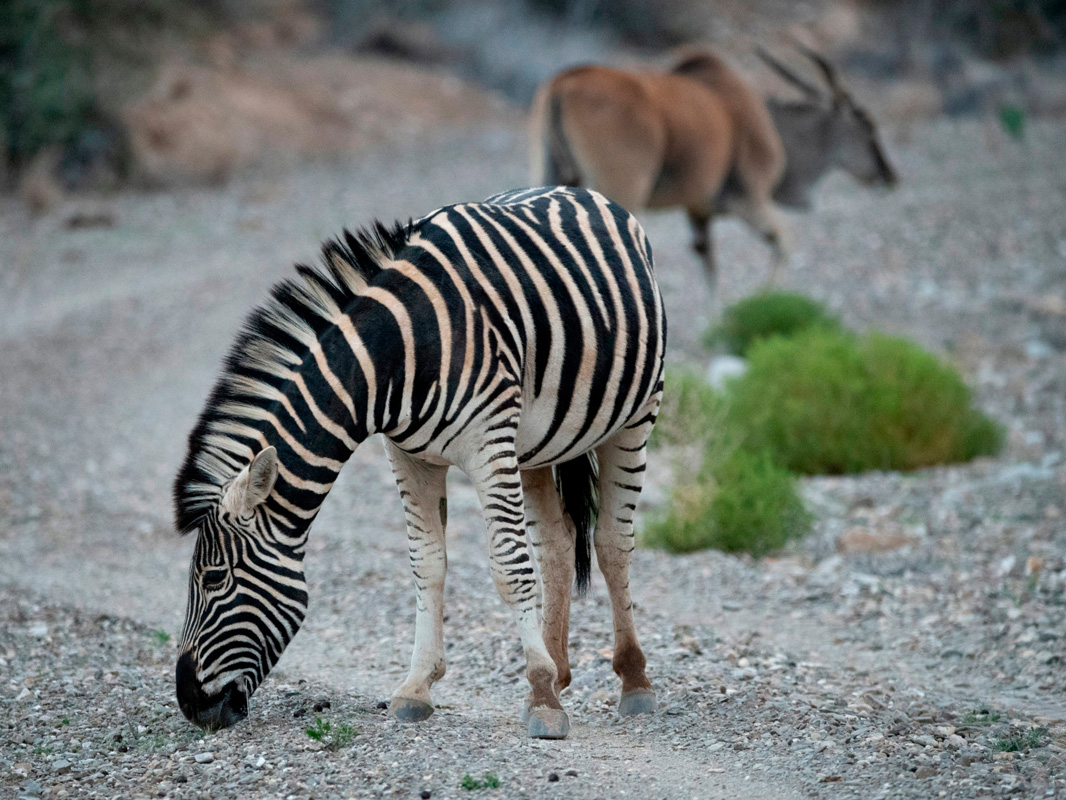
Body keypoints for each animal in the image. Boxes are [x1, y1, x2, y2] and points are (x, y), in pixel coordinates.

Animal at [173, 186, 667, 739]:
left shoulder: (488, 442)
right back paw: (559, 671)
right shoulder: (409, 455)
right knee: (557, 545)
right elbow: (426, 563)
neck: (398, 353)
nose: (189, 704)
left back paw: (632, 681)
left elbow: (510, 566)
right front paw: (416, 688)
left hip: (636, 417)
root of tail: (580, 190)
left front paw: (540, 698)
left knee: (612, 544)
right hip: (537, 445)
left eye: (215, 579)